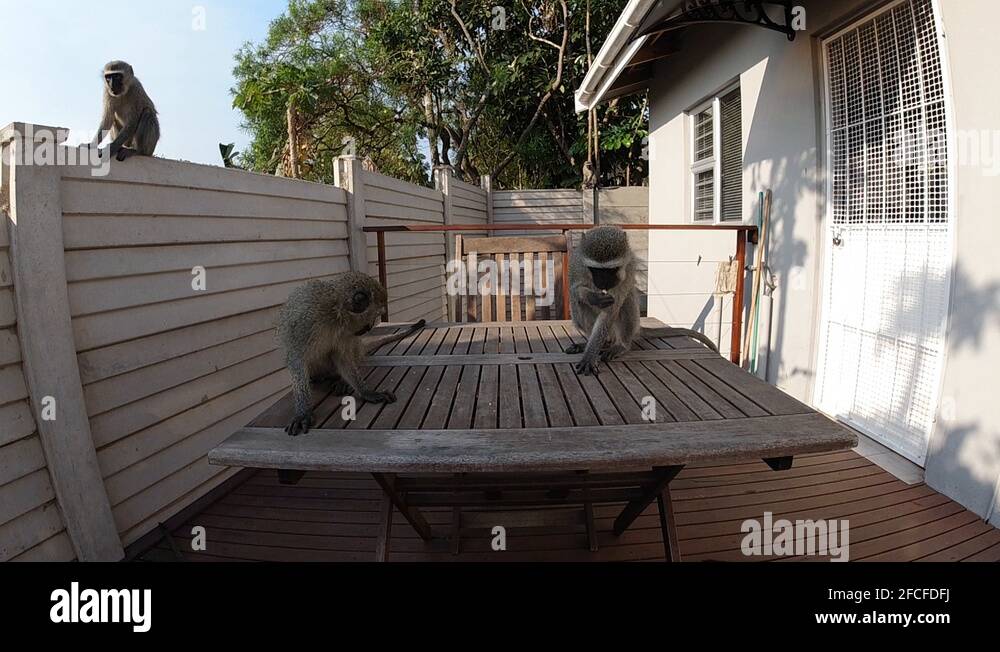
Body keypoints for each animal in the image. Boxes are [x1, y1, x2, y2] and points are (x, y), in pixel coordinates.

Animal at [277, 273, 426, 436]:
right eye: (373, 316)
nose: (369, 327)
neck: (333, 311)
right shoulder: (306, 320)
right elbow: (296, 358)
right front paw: (303, 413)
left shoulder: (344, 331)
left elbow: (343, 358)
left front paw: (366, 392)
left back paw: (340, 380)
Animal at [566, 225, 720, 375]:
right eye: (596, 270)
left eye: (611, 270)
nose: (604, 283)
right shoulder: (576, 265)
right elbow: (575, 290)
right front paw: (591, 296)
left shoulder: (628, 267)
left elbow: (611, 310)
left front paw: (590, 356)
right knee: (576, 302)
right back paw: (592, 343)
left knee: (627, 299)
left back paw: (621, 345)